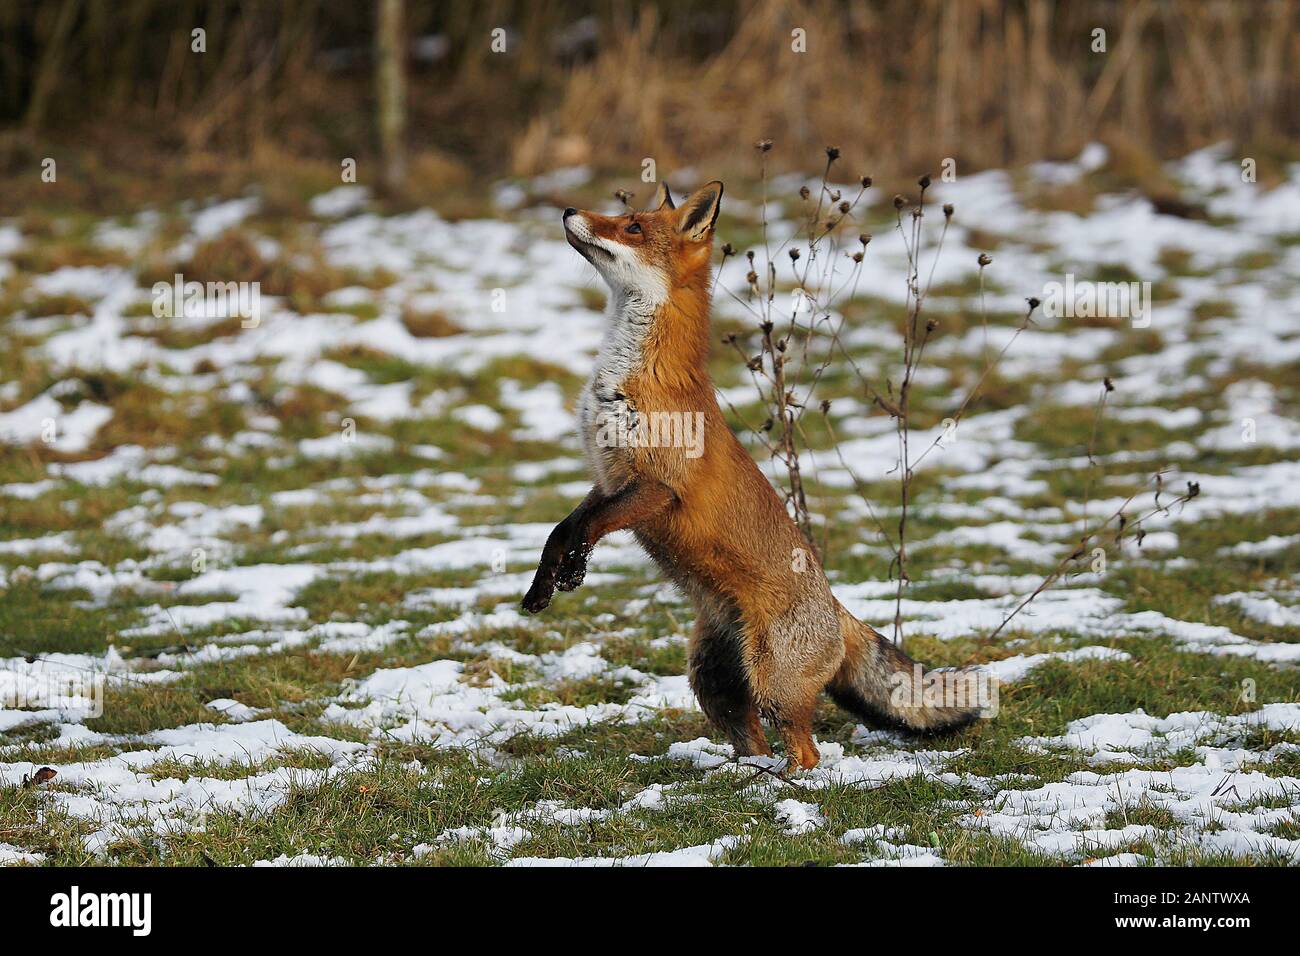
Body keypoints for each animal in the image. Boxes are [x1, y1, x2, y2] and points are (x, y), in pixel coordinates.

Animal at [521, 179, 982, 769]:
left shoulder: (657, 485)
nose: (567, 210)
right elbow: (561, 529)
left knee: (805, 748)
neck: (635, 373)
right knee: (751, 737)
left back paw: (784, 781)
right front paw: (543, 586)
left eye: (632, 227)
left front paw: (575, 568)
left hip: (771, 681)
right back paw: (740, 775)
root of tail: (836, 606)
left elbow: (587, 527)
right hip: (712, 680)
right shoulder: (608, 478)